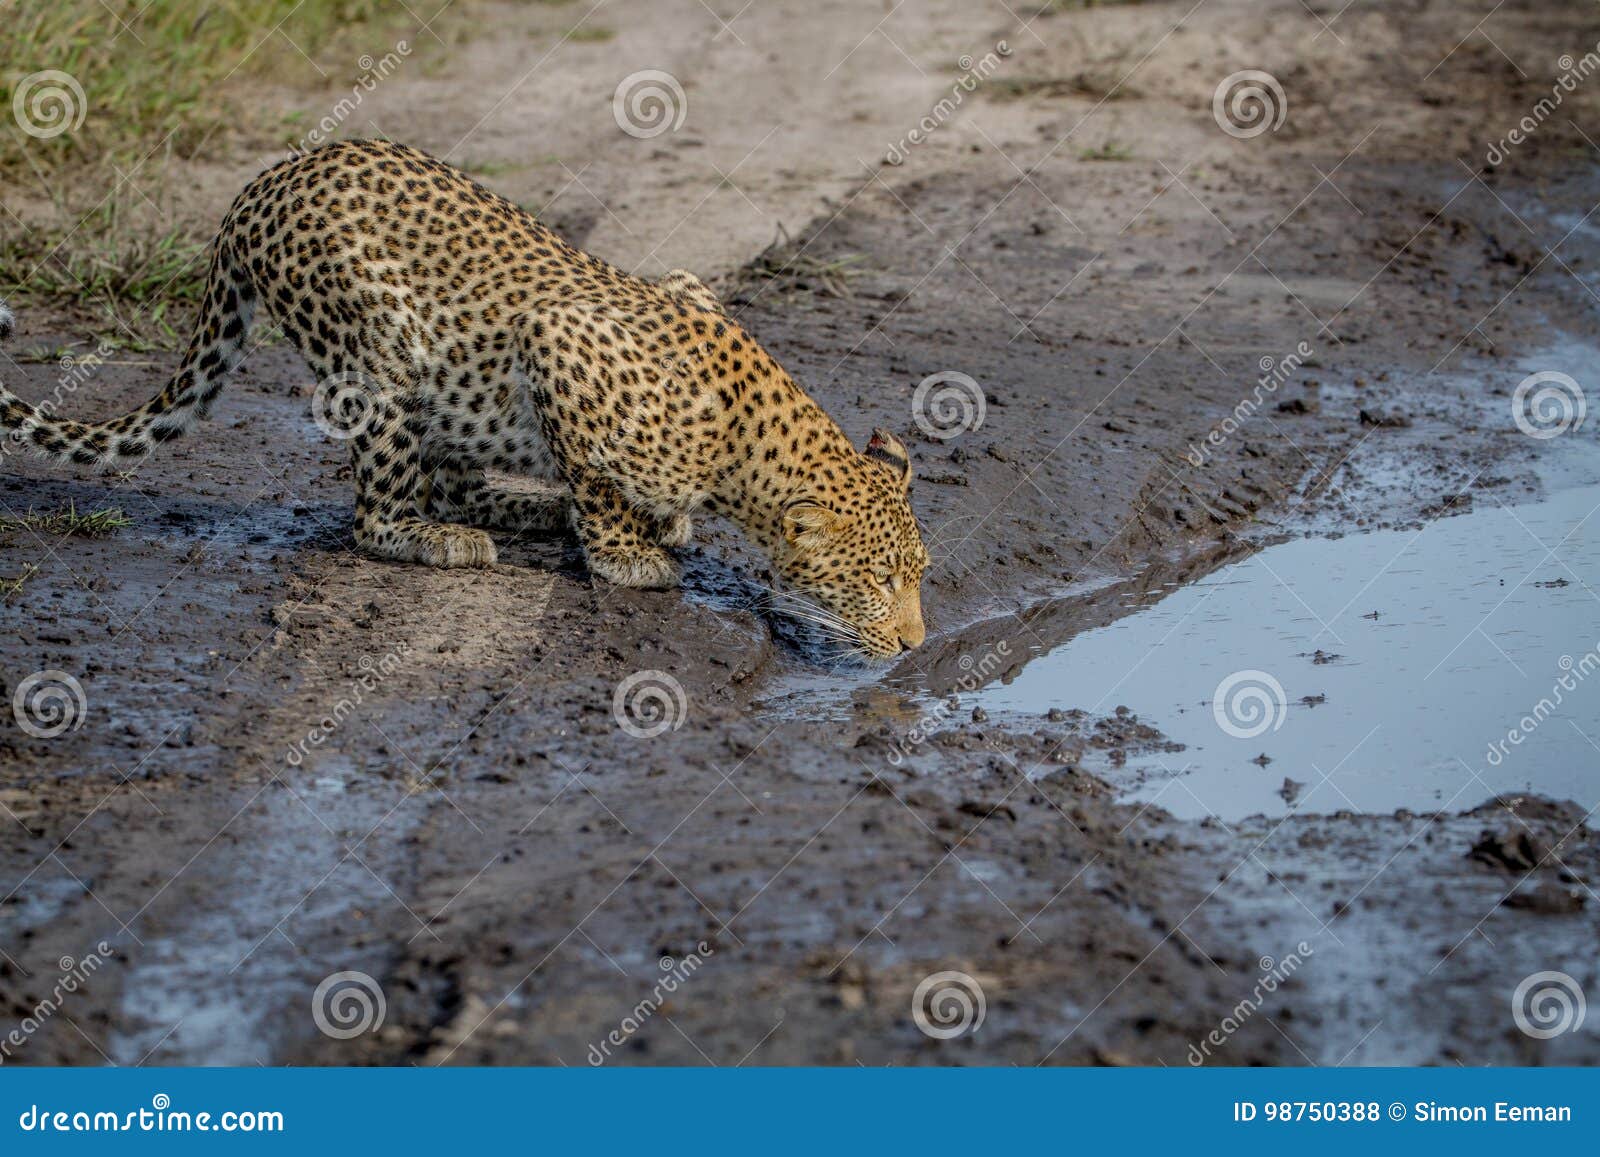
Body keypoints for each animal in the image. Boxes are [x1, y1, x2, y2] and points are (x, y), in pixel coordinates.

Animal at [0, 140, 928, 657]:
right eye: (880, 582)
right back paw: (435, 538)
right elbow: (597, 482)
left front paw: (652, 523)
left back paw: (524, 509)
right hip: (380, 352)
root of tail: (259, 186)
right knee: (378, 510)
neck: (742, 449)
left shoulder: (681, 283)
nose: (916, 642)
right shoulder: (554, 341)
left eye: (916, 576)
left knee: (452, 476)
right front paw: (625, 553)